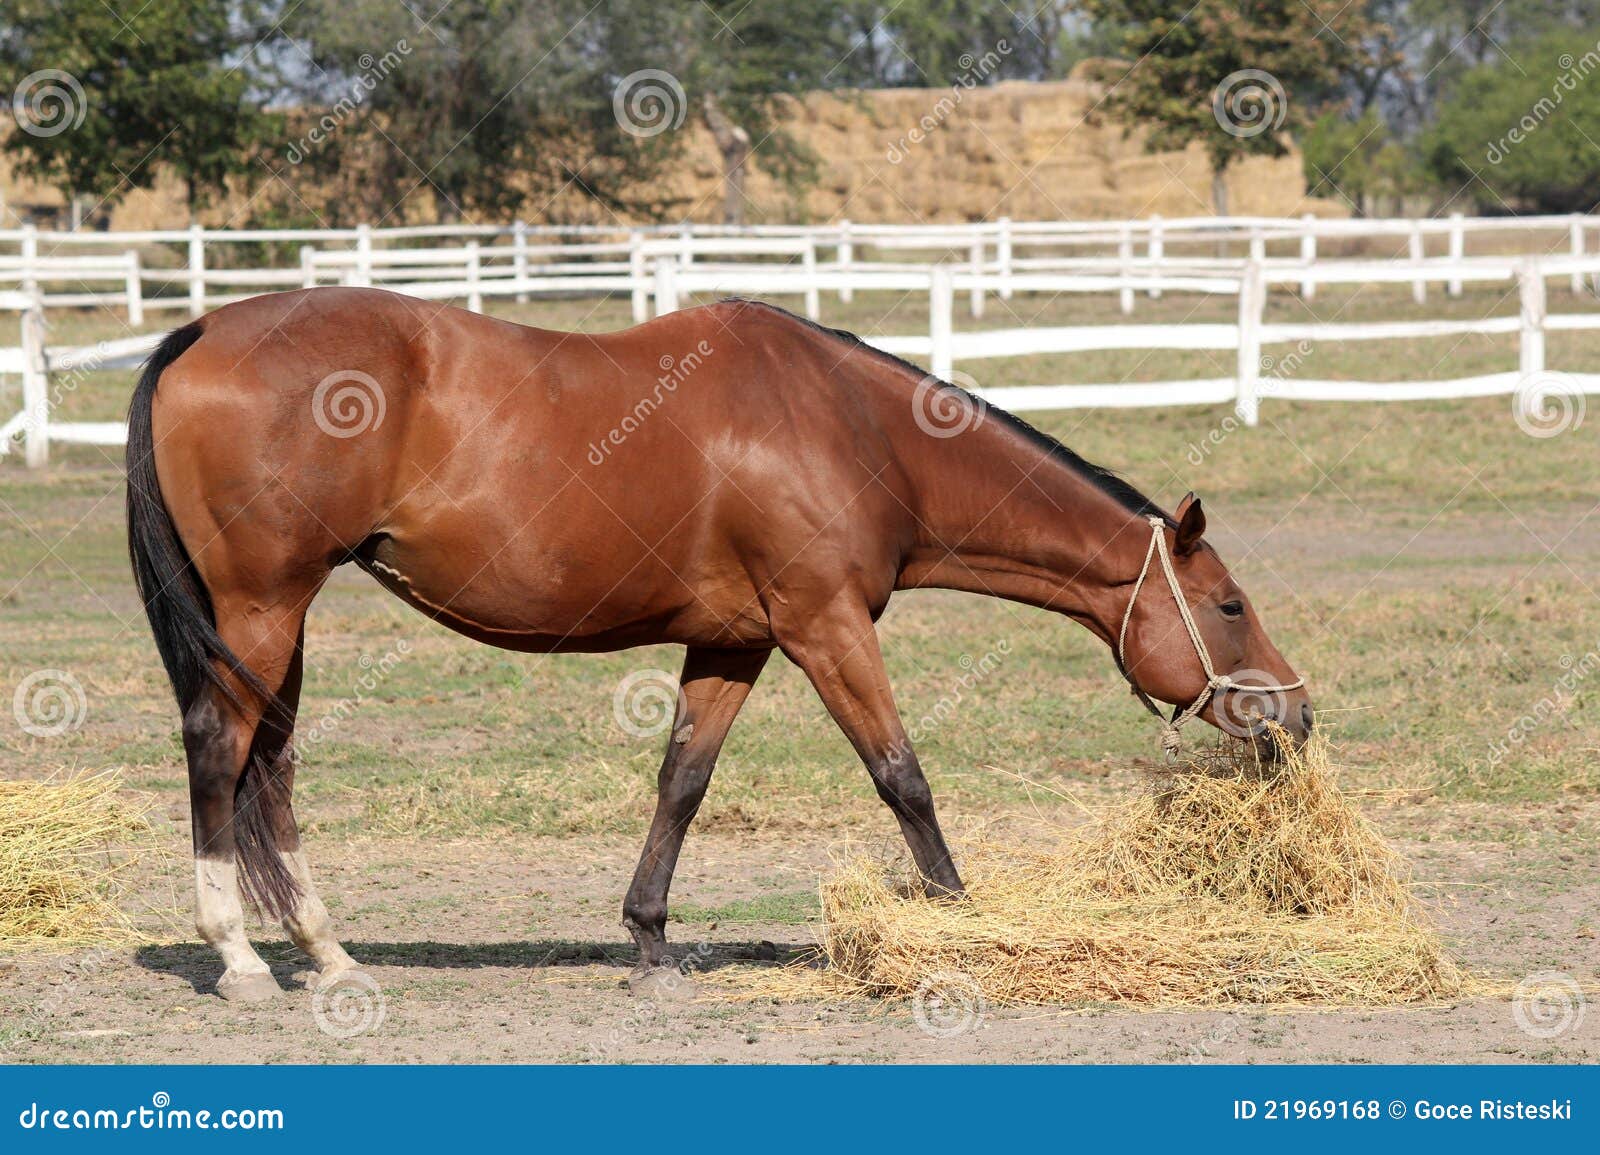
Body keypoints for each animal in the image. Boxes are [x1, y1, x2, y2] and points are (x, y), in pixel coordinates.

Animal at [125, 287, 1311, 1002]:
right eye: (1231, 604)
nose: (1294, 714)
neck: (853, 428)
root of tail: (204, 332)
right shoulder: (824, 627)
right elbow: (902, 775)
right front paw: (959, 919)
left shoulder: (735, 645)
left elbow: (681, 784)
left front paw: (649, 940)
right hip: (263, 607)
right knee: (221, 754)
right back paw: (241, 959)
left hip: (278, 621)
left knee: (271, 770)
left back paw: (327, 953)